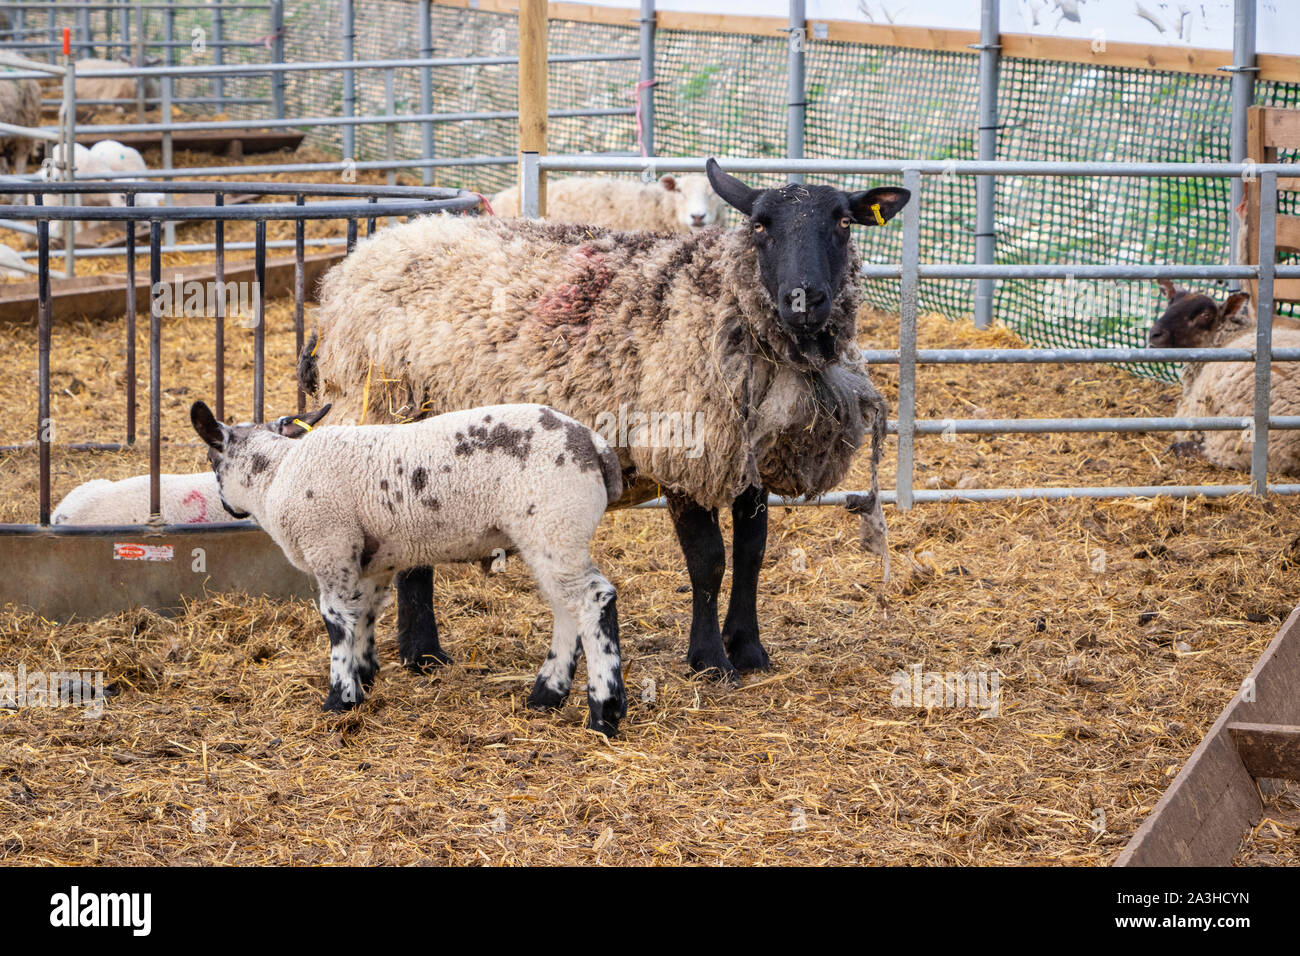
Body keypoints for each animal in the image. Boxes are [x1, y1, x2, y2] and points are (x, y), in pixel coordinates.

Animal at [189, 400, 628, 733]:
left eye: (212, 461)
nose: (227, 506)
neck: (275, 474)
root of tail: (594, 444)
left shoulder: (330, 548)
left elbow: (336, 620)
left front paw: (340, 698)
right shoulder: (372, 562)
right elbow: (363, 615)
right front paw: (364, 675)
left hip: (554, 527)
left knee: (593, 600)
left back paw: (605, 711)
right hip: (550, 538)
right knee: (566, 609)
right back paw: (546, 696)